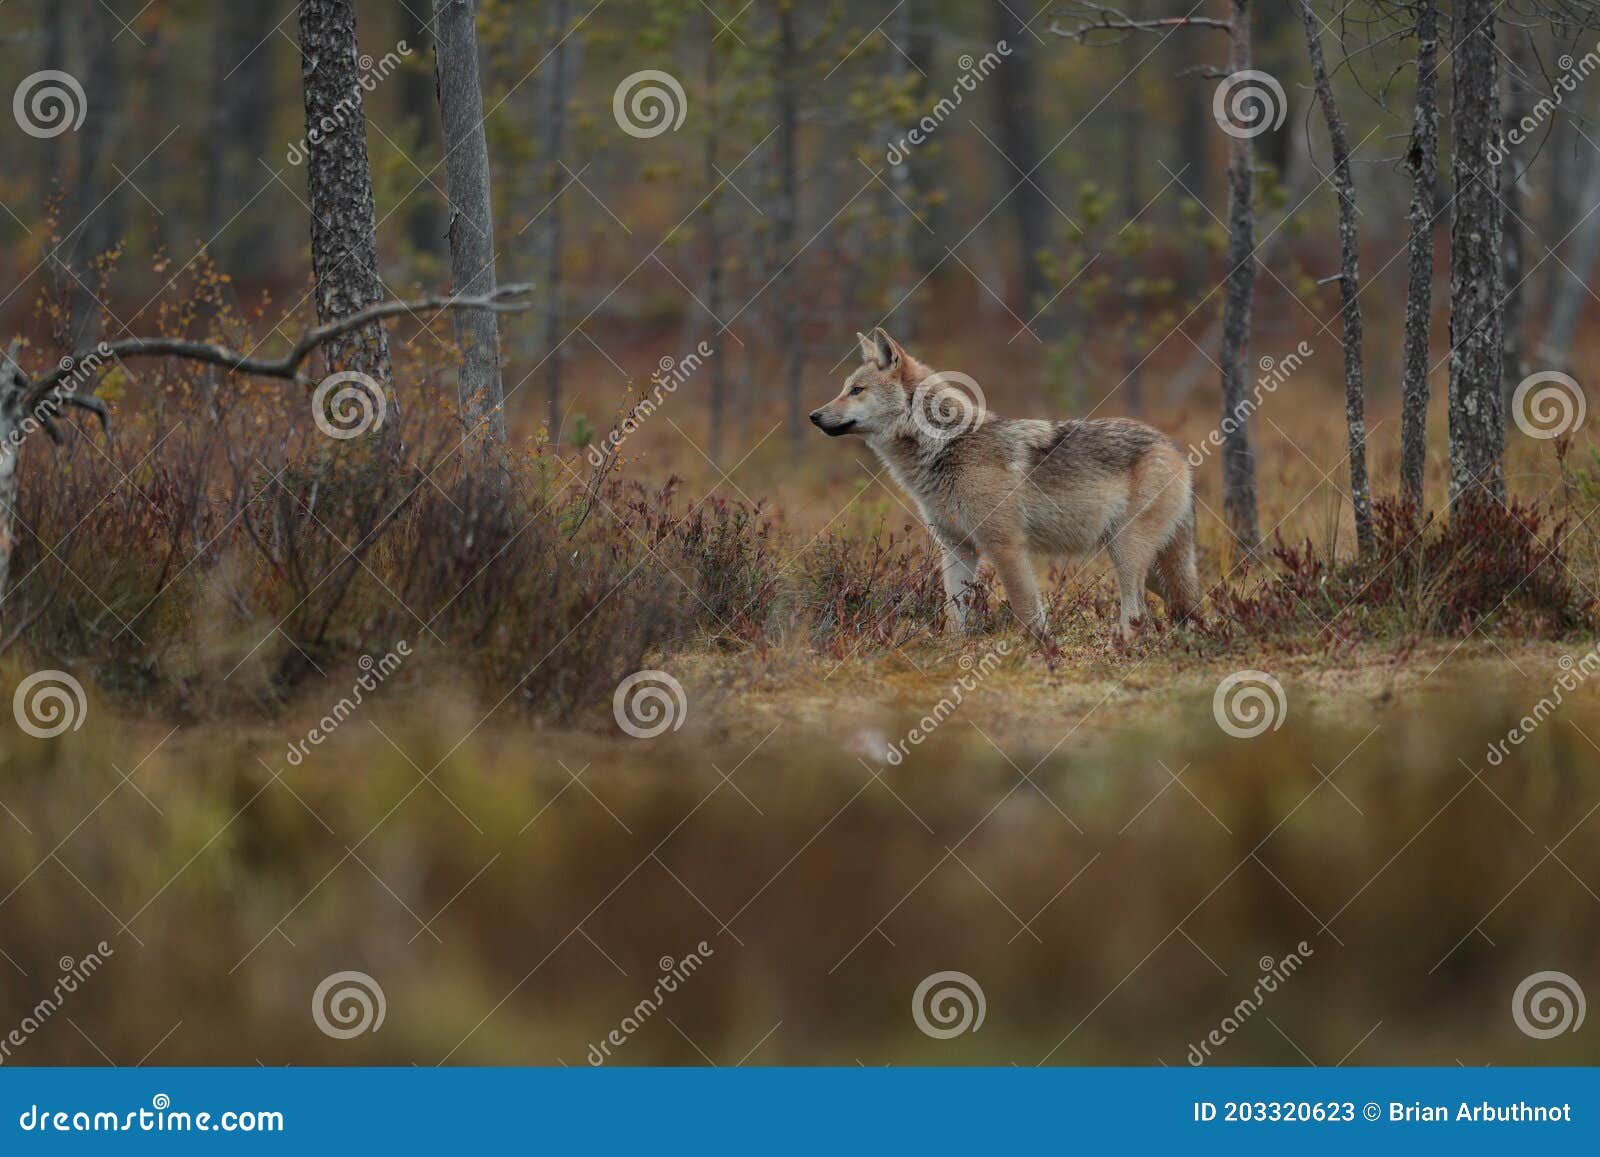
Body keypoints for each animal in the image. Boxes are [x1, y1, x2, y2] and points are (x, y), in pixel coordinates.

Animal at [809, 328, 1200, 646]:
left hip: (1126, 553)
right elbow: (956, 615)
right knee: (1185, 609)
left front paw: (1038, 653)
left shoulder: (1006, 546)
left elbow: (1028, 613)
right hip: (1151, 568)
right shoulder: (957, 549)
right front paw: (953, 652)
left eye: (856, 390)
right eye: (844, 389)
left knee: (1137, 615)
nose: (814, 415)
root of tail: (1175, 449)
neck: (942, 447)